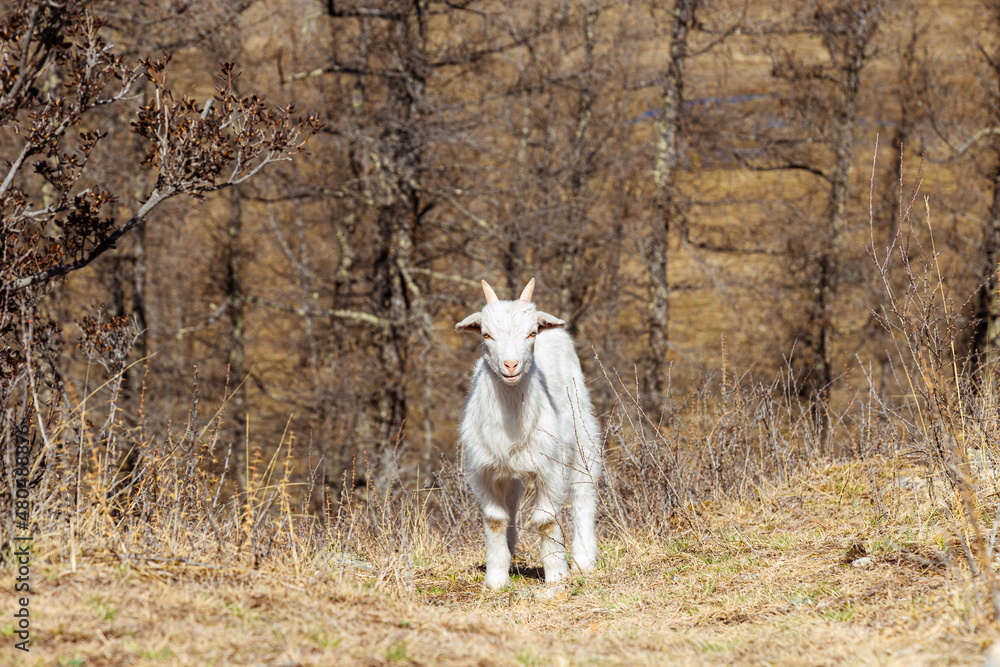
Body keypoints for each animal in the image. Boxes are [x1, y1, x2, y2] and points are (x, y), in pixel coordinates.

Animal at [455, 278, 602, 590]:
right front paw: (496, 578)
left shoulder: (550, 466)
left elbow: (546, 520)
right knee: (512, 501)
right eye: (486, 335)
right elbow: (495, 519)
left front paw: (557, 575)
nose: (511, 366)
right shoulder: (483, 469)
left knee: (583, 488)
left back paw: (584, 559)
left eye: (531, 333)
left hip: (582, 430)